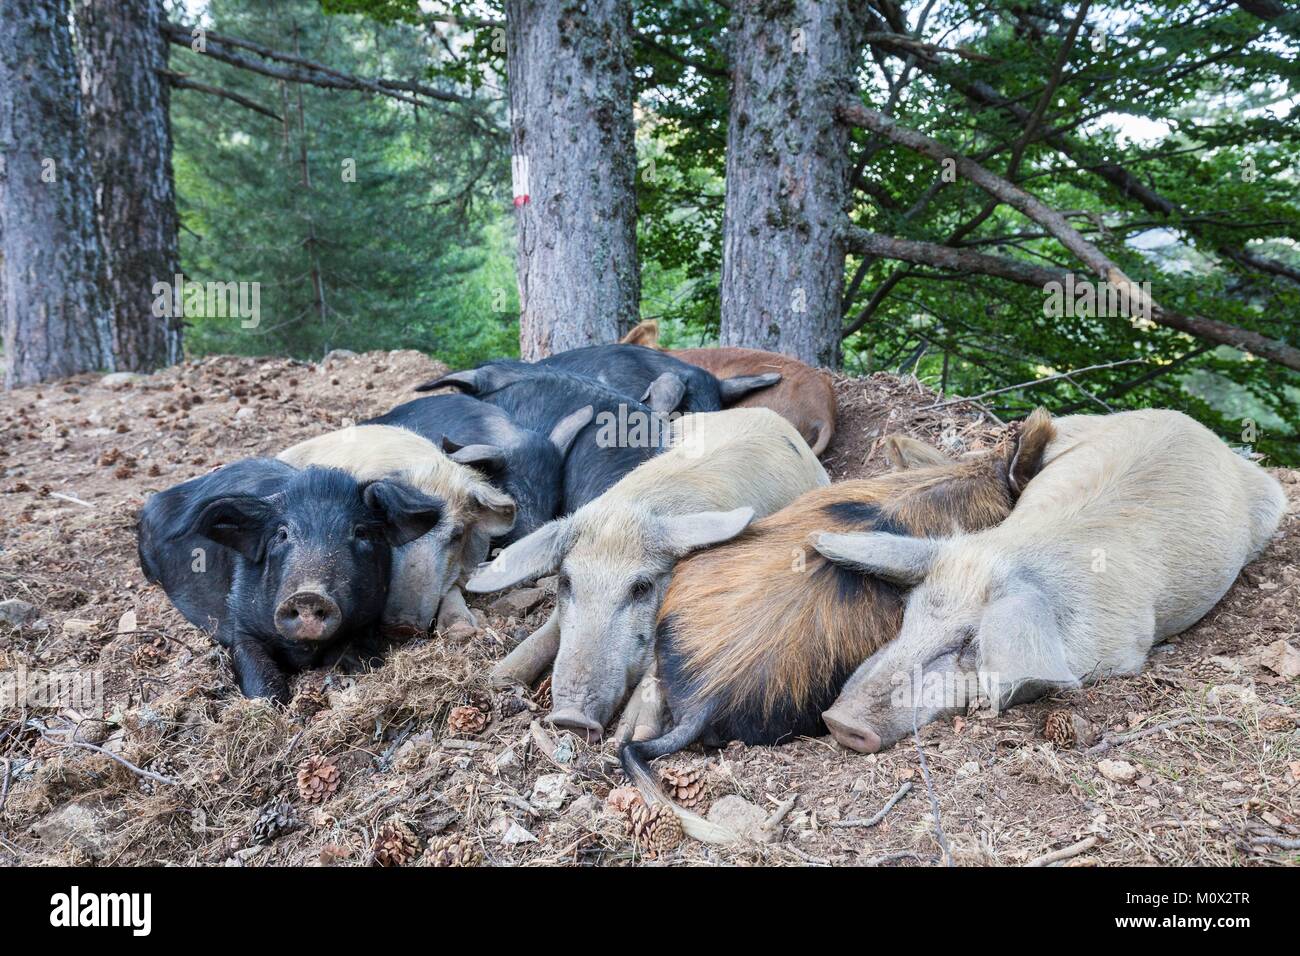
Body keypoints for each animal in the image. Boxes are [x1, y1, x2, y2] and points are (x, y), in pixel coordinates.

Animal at [138, 460, 444, 702]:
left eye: (360, 532)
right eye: (282, 534)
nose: (308, 594)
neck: (304, 651)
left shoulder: (367, 621)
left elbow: (365, 659)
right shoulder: (241, 624)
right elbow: (259, 678)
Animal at [466, 407, 830, 737]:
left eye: (640, 587)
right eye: (567, 581)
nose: (571, 719)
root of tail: (769, 413)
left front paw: (631, 735)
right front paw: (501, 676)